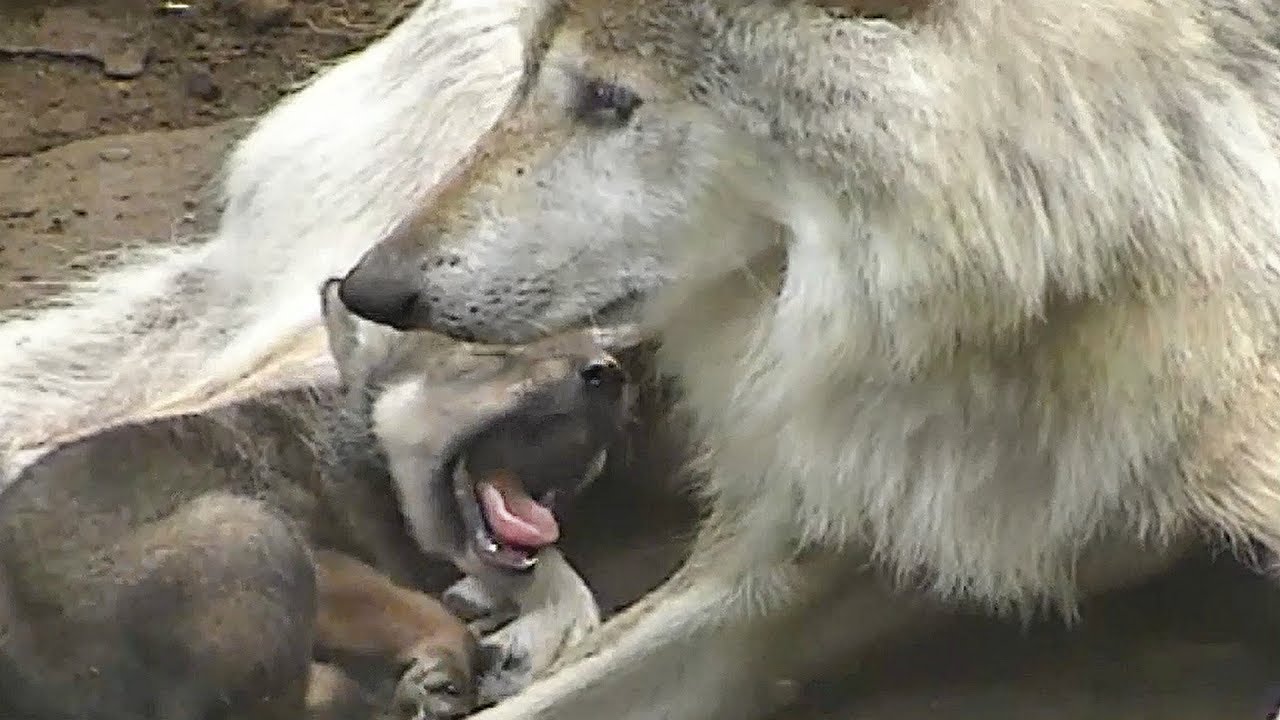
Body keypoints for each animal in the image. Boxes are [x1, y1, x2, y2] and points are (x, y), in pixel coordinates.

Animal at [0, 278, 635, 720]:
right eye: (491, 355)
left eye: (591, 343)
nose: (610, 372)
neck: (355, 456)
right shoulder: (323, 560)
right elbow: (425, 614)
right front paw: (444, 671)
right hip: (252, 533)